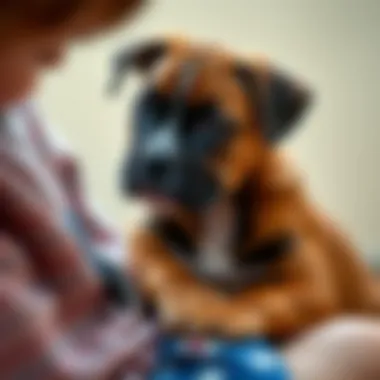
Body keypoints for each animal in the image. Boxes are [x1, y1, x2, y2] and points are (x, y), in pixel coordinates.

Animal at [110, 37, 380, 340]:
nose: (154, 161)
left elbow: (264, 297)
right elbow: (169, 273)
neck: (218, 211)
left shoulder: (311, 286)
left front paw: (222, 313)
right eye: (145, 107)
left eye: (210, 122)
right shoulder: (146, 242)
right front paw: (195, 300)